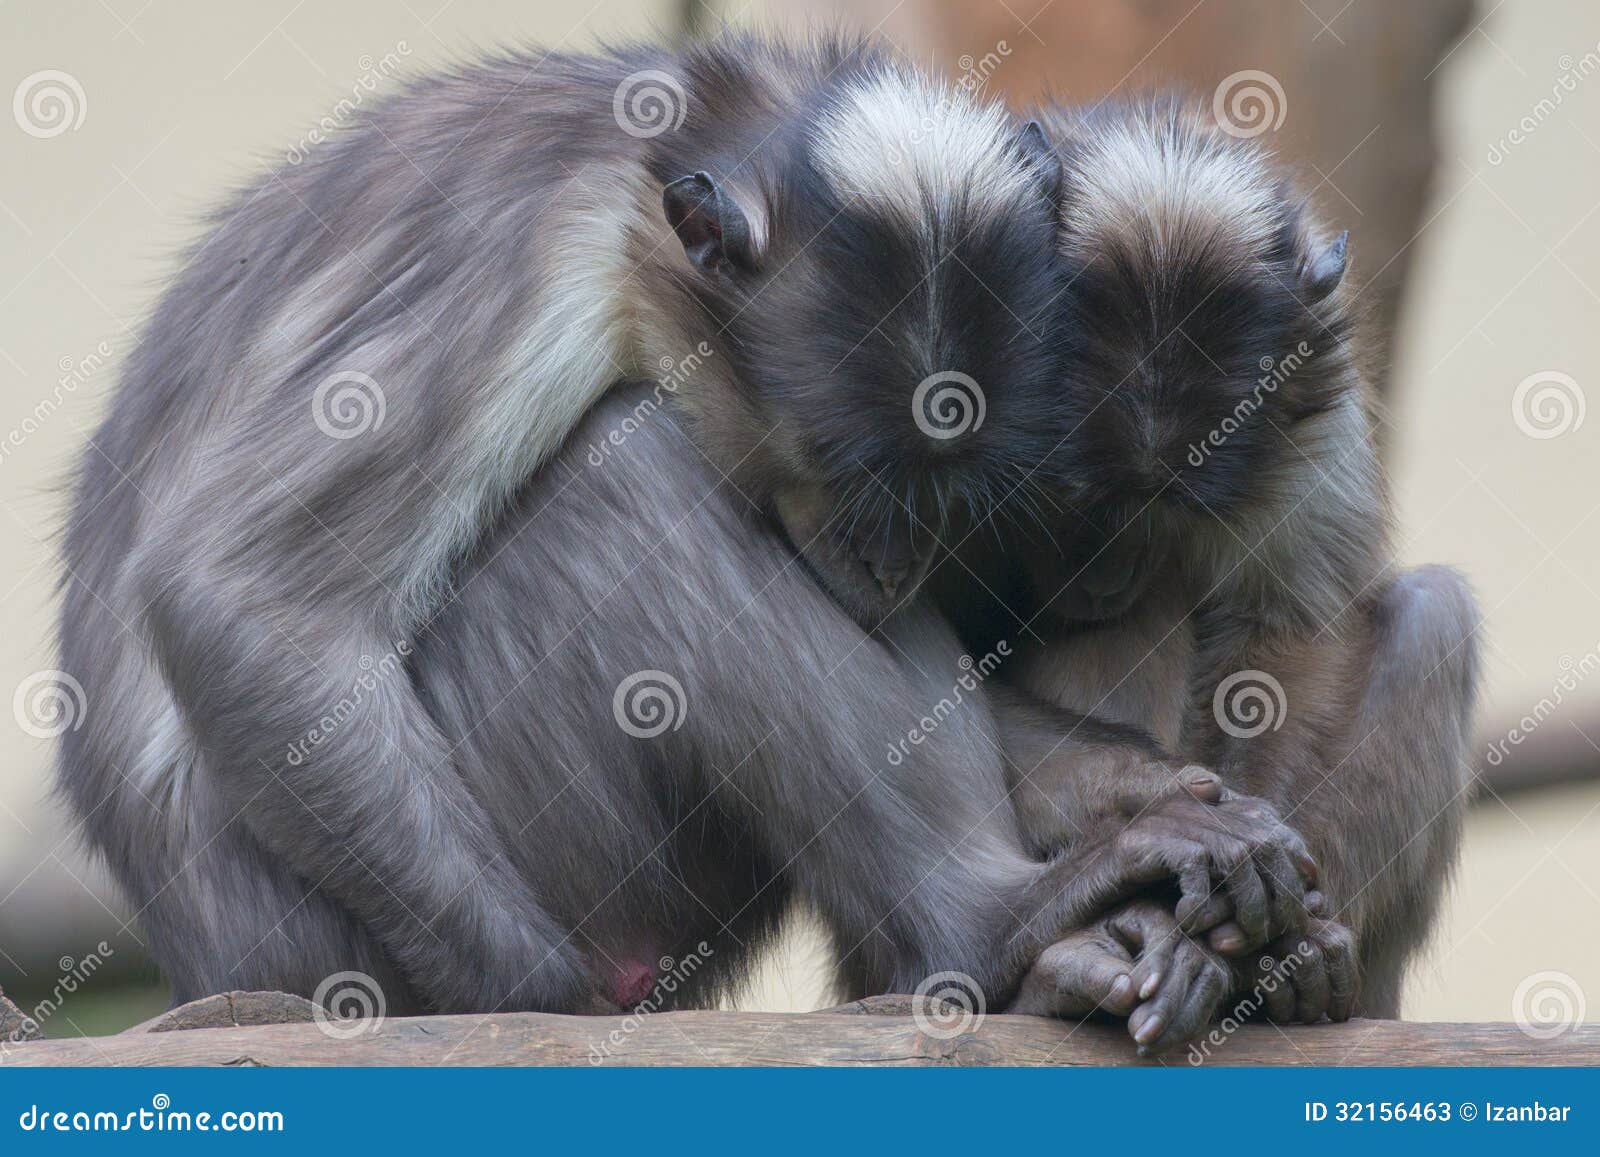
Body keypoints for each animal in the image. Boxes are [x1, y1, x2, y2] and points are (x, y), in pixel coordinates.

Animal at [57, 34, 1314, 1035]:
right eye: (854, 485)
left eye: (950, 502)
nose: (890, 564)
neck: (650, 157)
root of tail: (221, 957)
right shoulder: (518, 260)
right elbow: (243, 597)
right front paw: (538, 993)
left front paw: (1146, 786)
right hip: (433, 912)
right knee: (628, 473)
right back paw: (986, 920)